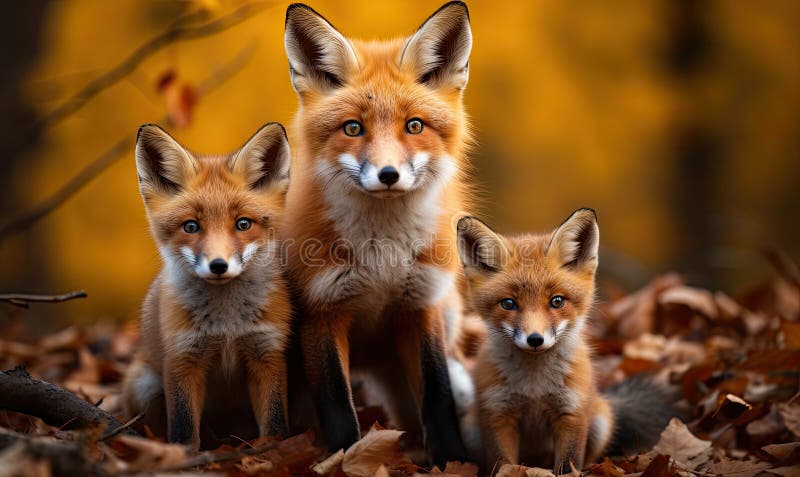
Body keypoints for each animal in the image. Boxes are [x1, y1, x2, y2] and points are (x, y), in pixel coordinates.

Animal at [120, 123, 292, 450]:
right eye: (191, 226)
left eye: (243, 224)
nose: (218, 266)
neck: (226, 326)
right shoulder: (182, 358)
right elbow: (184, 430)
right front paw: (183, 456)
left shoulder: (267, 354)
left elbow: (276, 426)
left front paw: (274, 453)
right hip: (145, 385)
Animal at [281, 1, 473, 464]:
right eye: (353, 128)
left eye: (414, 126)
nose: (389, 175)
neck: (382, 256)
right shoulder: (321, 311)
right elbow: (336, 404)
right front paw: (342, 460)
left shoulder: (421, 305)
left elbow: (438, 395)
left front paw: (453, 459)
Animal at [456, 209, 675, 473]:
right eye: (508, 303)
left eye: (557, 301)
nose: (535, 339)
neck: (534, 387)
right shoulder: (498, 414)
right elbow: (503, 464)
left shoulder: (571, 413)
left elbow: (568, 465)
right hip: (470, 429)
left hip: (600, 422)